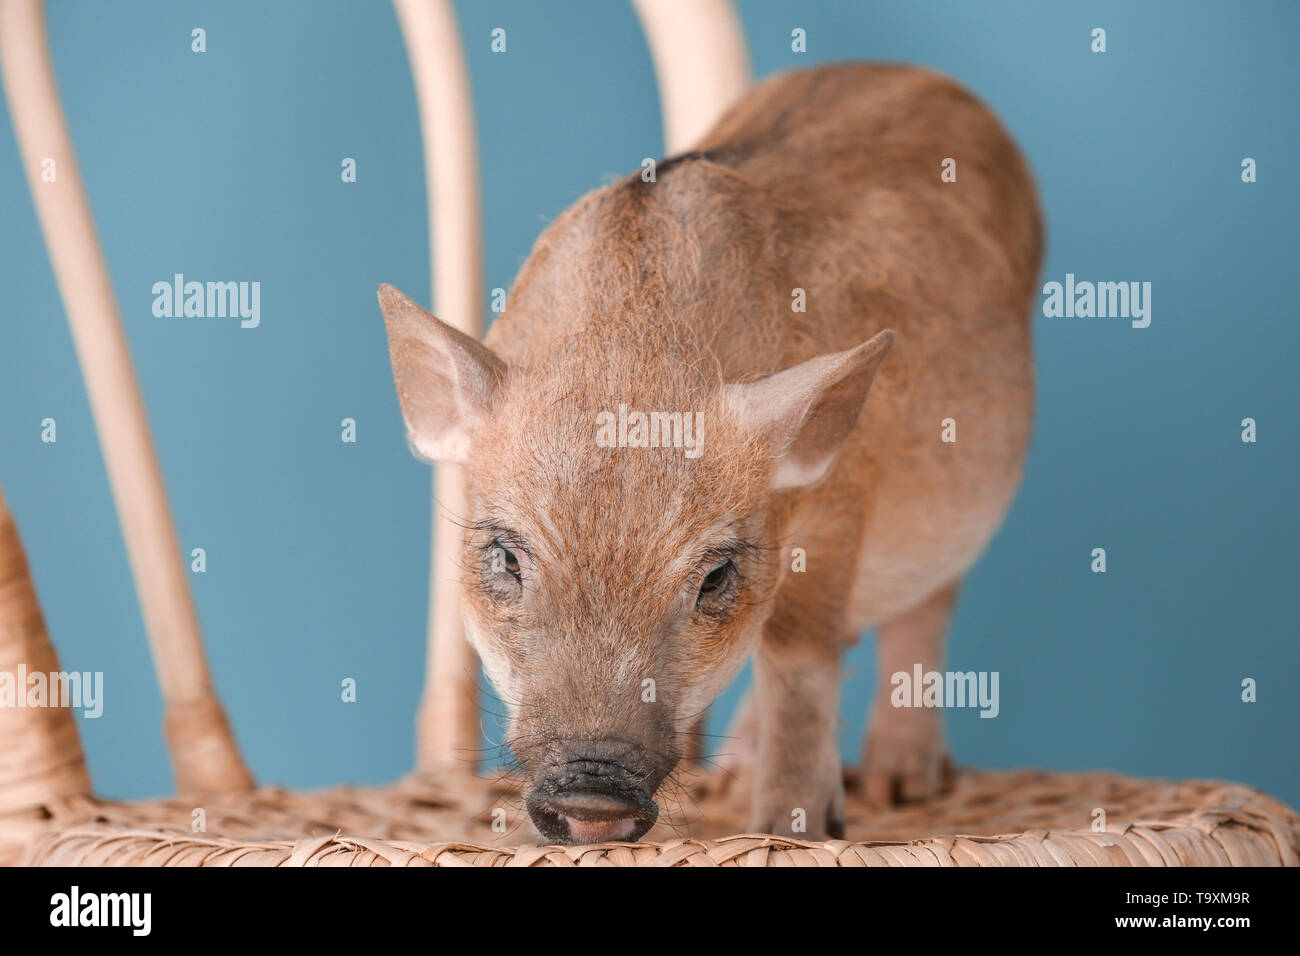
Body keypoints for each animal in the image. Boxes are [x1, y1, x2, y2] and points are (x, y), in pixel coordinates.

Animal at [378, 63, 1041, 844]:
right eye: (506, 558)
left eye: (717, 577)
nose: (592, 797)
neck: (628, 353)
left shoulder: (840, 506)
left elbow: (797, 653)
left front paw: (795, 832)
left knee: (924, 611)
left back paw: (898, 787)